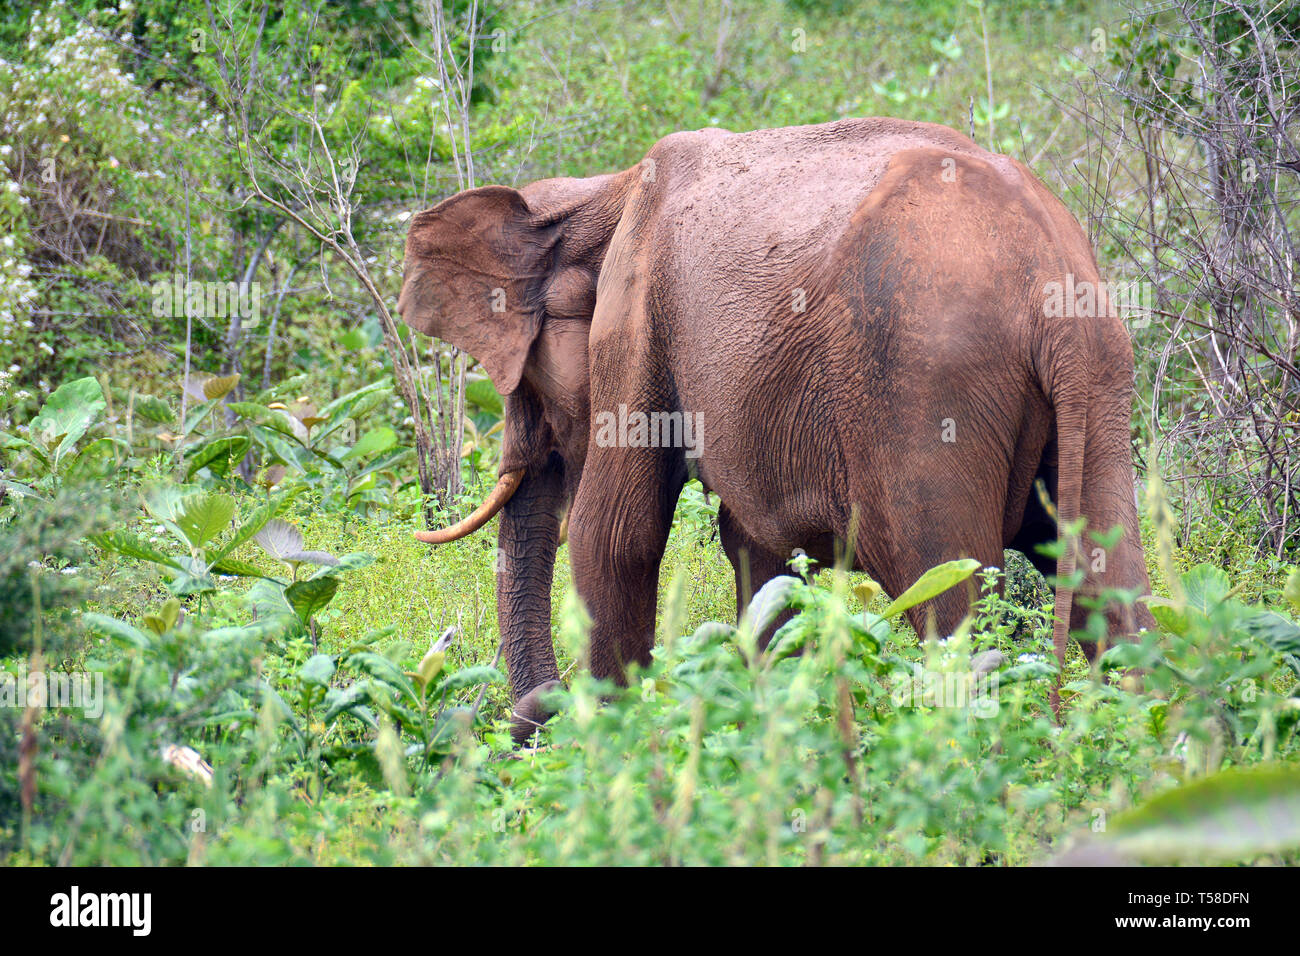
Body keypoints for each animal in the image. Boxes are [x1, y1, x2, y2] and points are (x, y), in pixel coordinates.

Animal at [397, 117, 1156, 742]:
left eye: (526, 382)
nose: (532, 716)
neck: (601, 194)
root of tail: (1050, 289)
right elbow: (757, 558)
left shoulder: (635, 320)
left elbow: (615, 535)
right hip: (1101, 383)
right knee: (1111, 589)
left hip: (924, 389)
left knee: (944, 592)